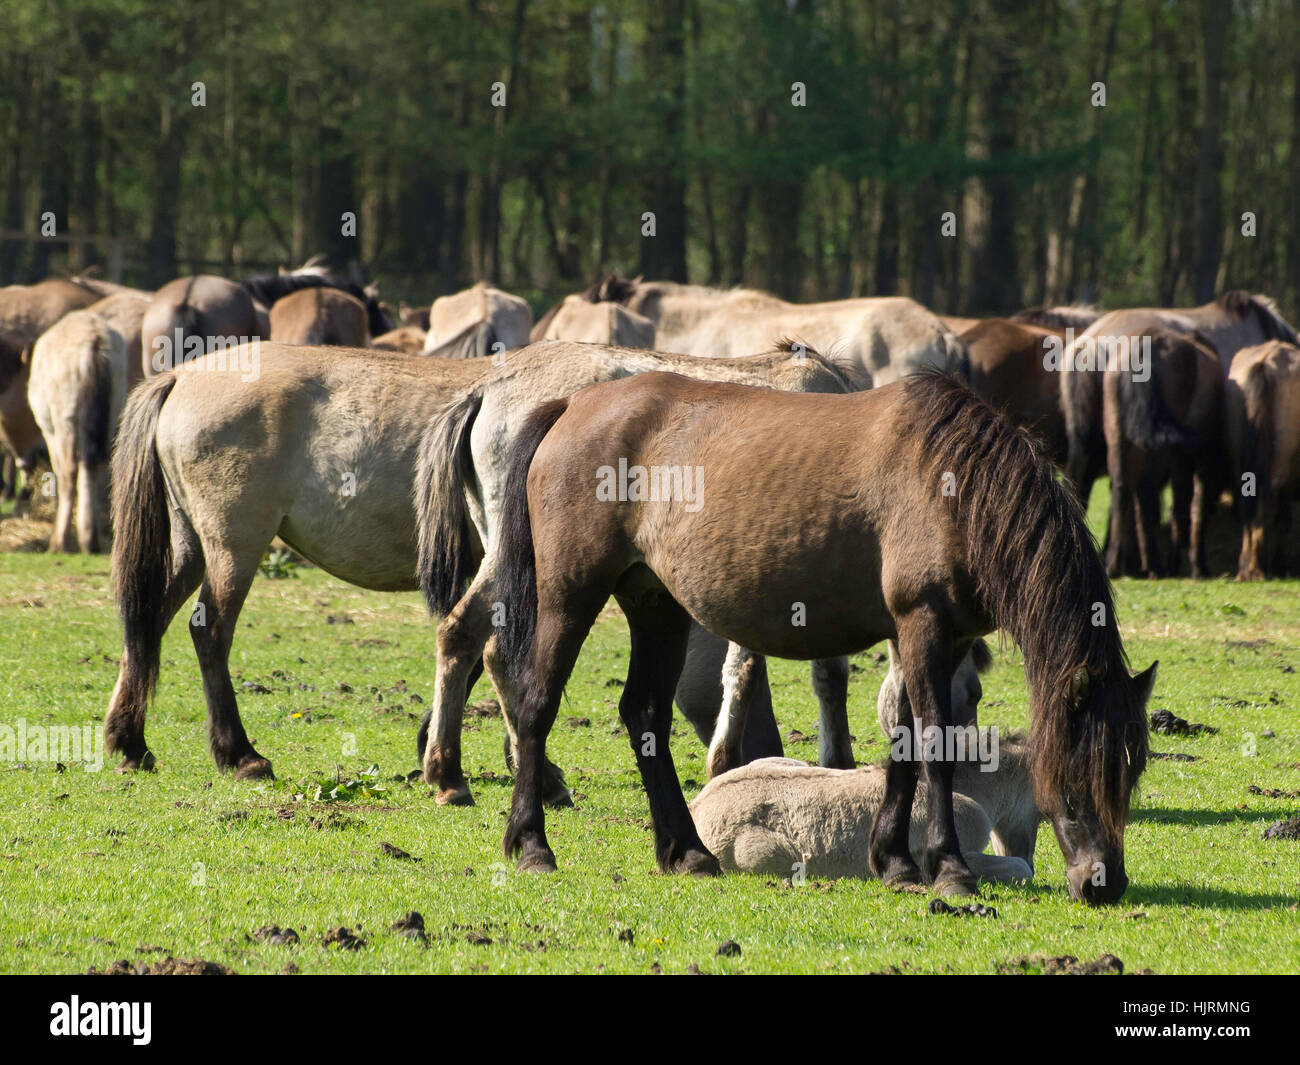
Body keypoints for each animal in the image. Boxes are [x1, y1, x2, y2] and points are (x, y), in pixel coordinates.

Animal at [26, 292, 150, 552]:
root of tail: (94, 341)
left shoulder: (50, 432)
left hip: (66, 420)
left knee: (70, 471)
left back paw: (61, 540)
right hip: (110, 414)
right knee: (94, 466)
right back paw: (89, 537)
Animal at [104, 345, 494, 777]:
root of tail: (180, 377)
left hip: (190, 547)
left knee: (147, 622)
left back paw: (131, 743)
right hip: (234, 548)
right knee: (210, 632)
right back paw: (240, 754)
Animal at [1101, 328, 1225, 579]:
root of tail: (1145, 344)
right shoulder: (1198, 457)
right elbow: (1192, 506)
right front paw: (1196, 565)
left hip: (1119, 437)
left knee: (1122, 490)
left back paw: (1116, 564)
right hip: (1162, 451)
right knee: (1150, 494)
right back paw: (1156, 565)